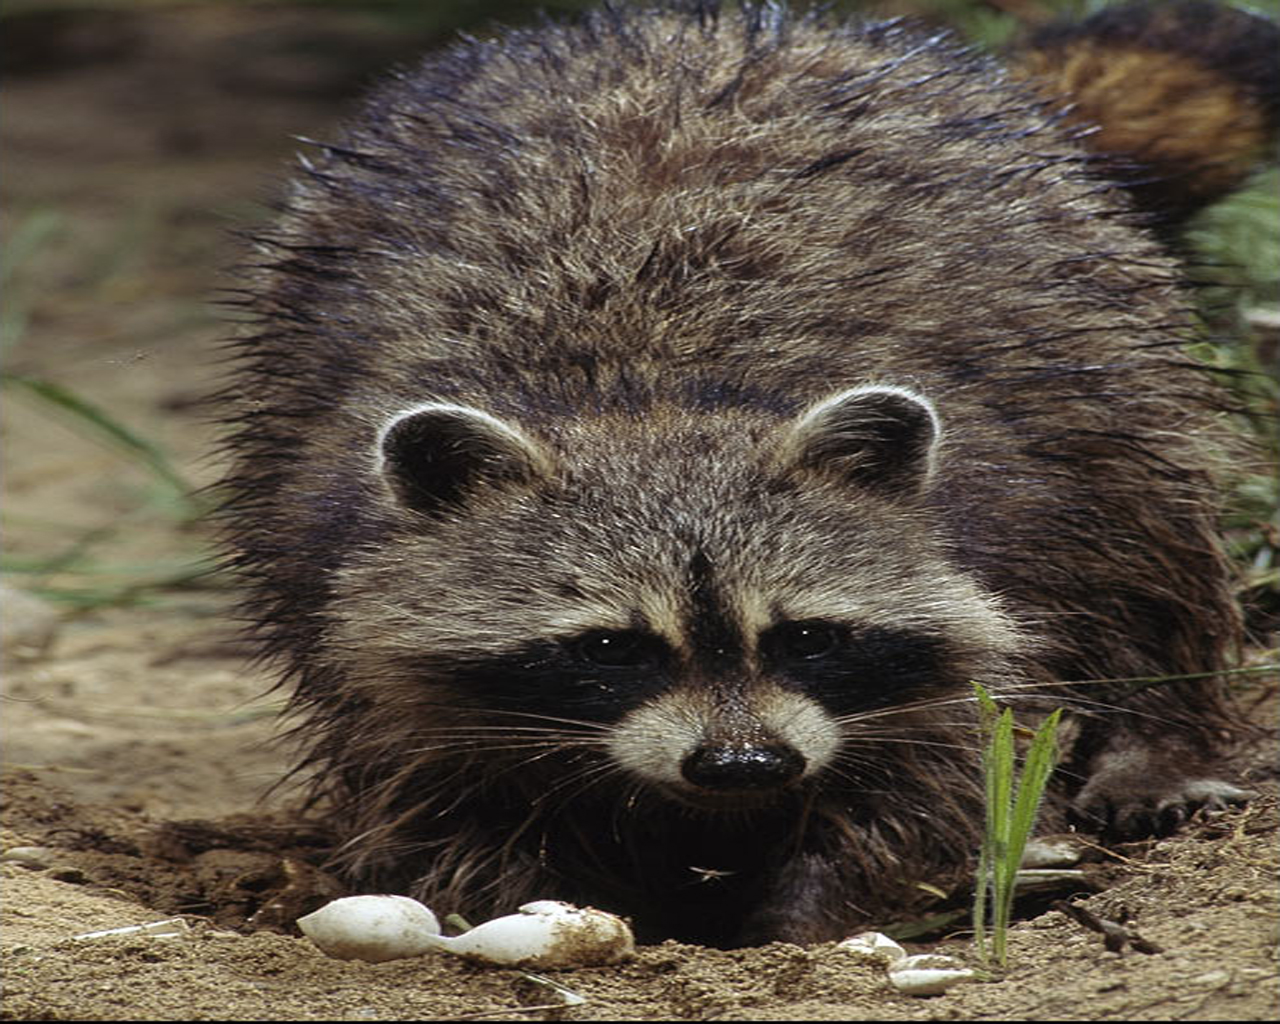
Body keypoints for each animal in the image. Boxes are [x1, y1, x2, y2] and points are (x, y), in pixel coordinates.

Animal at [219, 1, 1279, 946]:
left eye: (807, 636)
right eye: (612, 647)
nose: (743, 765)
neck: (649, 398)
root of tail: (696, 21)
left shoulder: (985, 539)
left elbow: (943, 763)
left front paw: (814, 910)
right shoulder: (339, 579)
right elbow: (436, 787)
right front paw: (532, 899)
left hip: (1099, 342)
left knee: (1147, 534)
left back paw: (1160, 735)